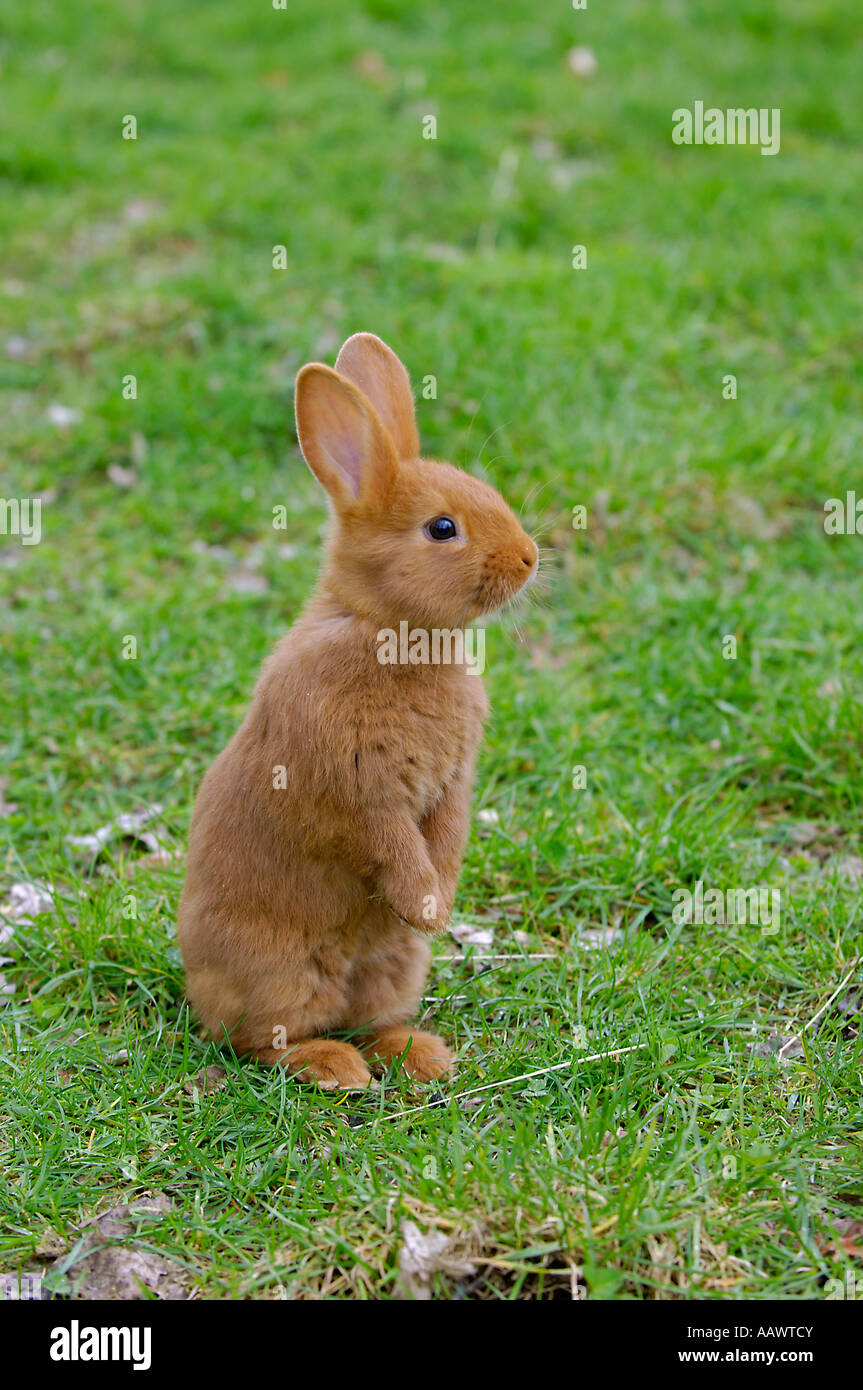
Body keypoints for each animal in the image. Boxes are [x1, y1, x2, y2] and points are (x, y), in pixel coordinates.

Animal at [177, 333, 538, 1089]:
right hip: (283, 973)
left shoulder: (452, 783)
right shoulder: (354, 788)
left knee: (370, 1019)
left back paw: (419, 1055)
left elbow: (447, 832)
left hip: (393, 968)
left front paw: (440, 903)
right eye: (442, 528)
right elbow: (388, 841)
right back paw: (333, 1068)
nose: (528, 558)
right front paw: (428, 904)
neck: (388, 629)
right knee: (262, 1042)